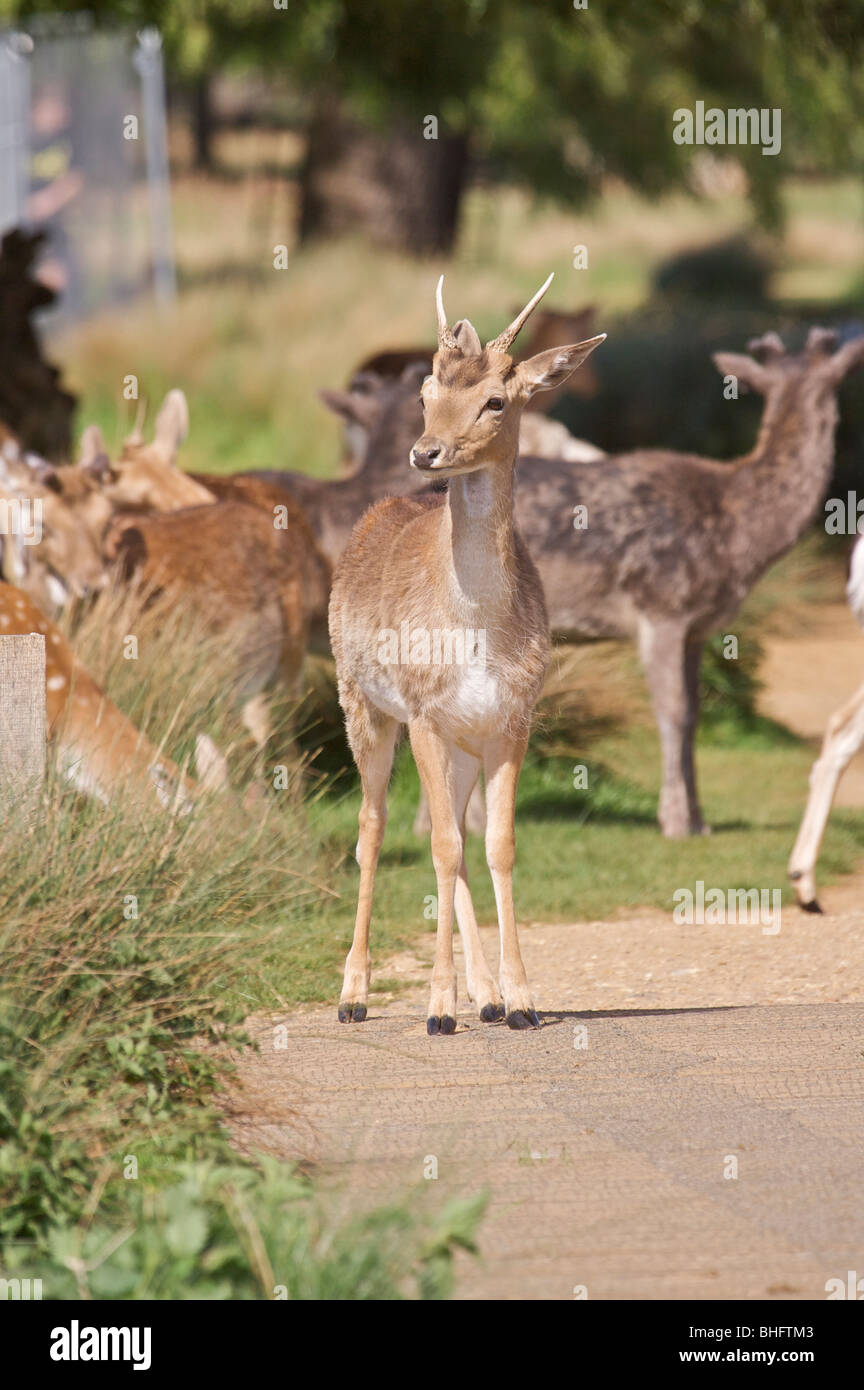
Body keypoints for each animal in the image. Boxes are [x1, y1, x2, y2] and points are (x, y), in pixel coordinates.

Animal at [329, 275, 605, 1033]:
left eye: (496, 400)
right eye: (425, 393)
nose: (426, 452)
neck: (478, 628)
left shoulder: (511, 719)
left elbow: (494, 846)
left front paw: (521, 1001)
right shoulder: (423, 711)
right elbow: (442, 847)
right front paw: (435, 1009)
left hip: (459, 740)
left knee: (449, 829)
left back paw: (483, 997)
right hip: (362, 705)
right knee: (371, 829)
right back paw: (355, 995)